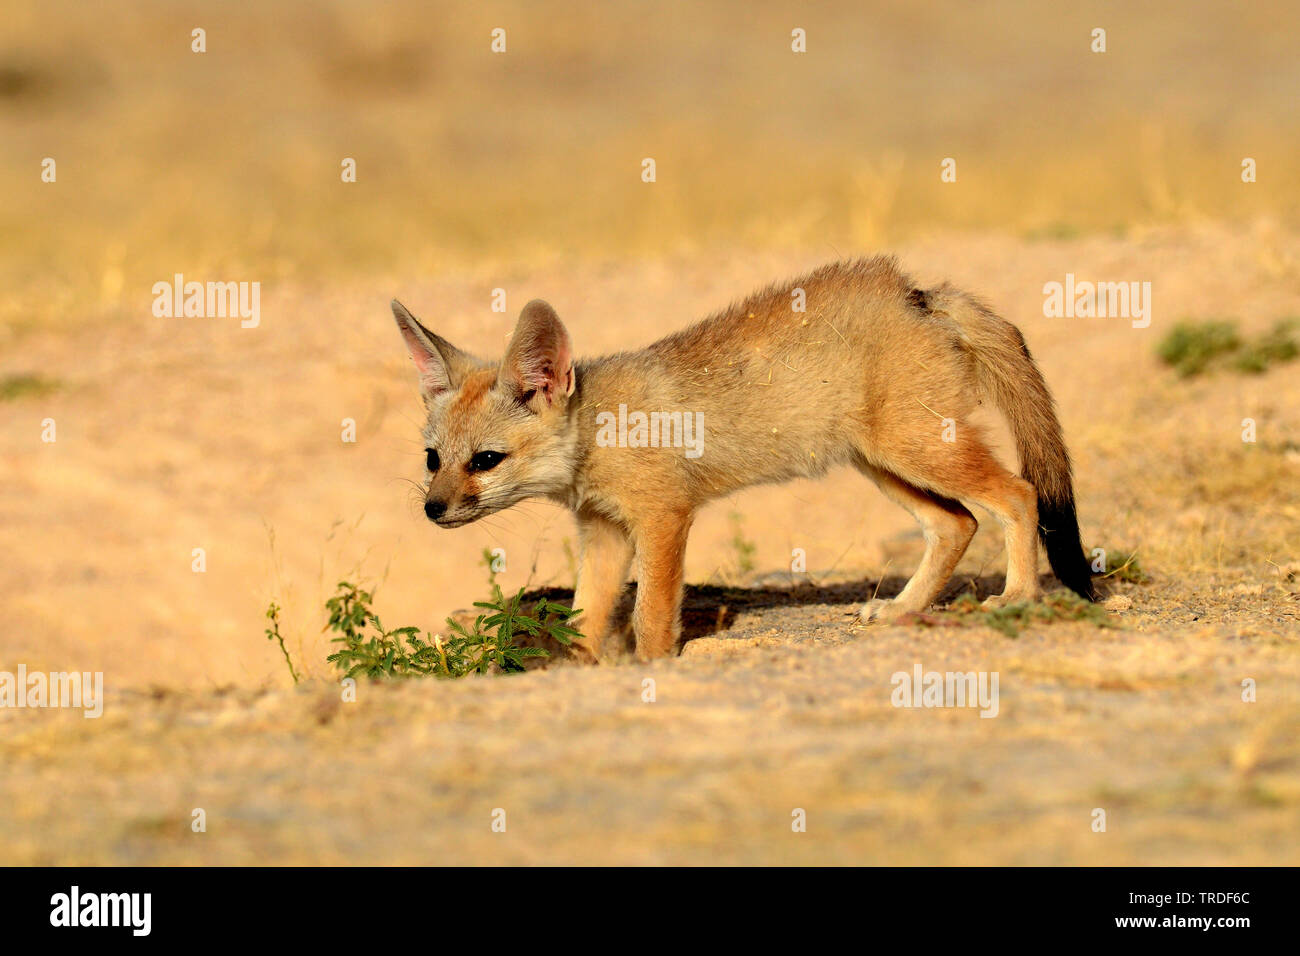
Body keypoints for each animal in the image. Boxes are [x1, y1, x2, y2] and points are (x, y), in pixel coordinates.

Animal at [392, 256, 1096, 662]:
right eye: (433, 459)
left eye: (486, 460)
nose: (432, 510)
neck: (599, 427)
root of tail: (919, 291)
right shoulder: (605, 532)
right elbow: (585, 620)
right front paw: (584, 672)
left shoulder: (663, 518)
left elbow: (650, 618)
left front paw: (651, 668)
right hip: (885, 462)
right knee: (957, 524)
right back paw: (901, 609)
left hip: (918, 451)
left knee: (1019, 496)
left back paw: (1018, 597)